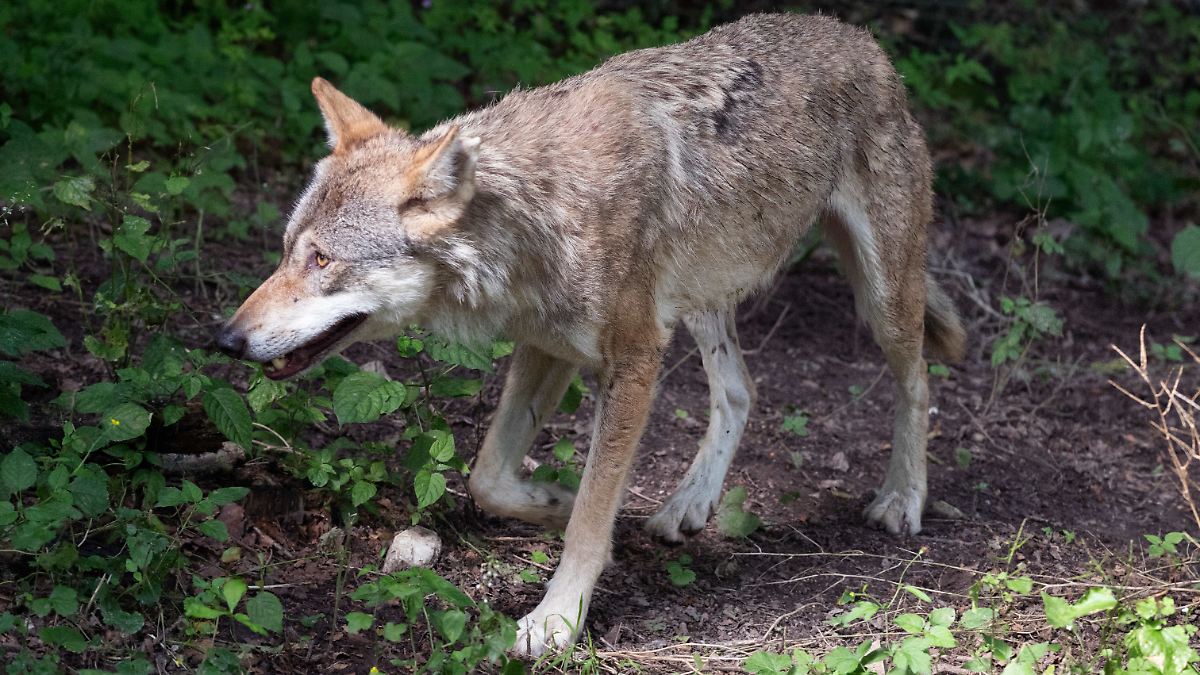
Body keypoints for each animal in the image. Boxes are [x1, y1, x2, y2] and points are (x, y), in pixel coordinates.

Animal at [216, 12, 965, 656]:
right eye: (285, 252)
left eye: (321, 261)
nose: (226, 340)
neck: (536, 216)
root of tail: (862, 38)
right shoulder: (546, 347)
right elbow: (488, 476)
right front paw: (552, 499)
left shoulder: (632, 360)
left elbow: (590, 518)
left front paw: (556, 620)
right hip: (700, 302)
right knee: (741, 390)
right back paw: (689, 504)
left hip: (880, 296)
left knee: (919, 384)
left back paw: (902, 499)